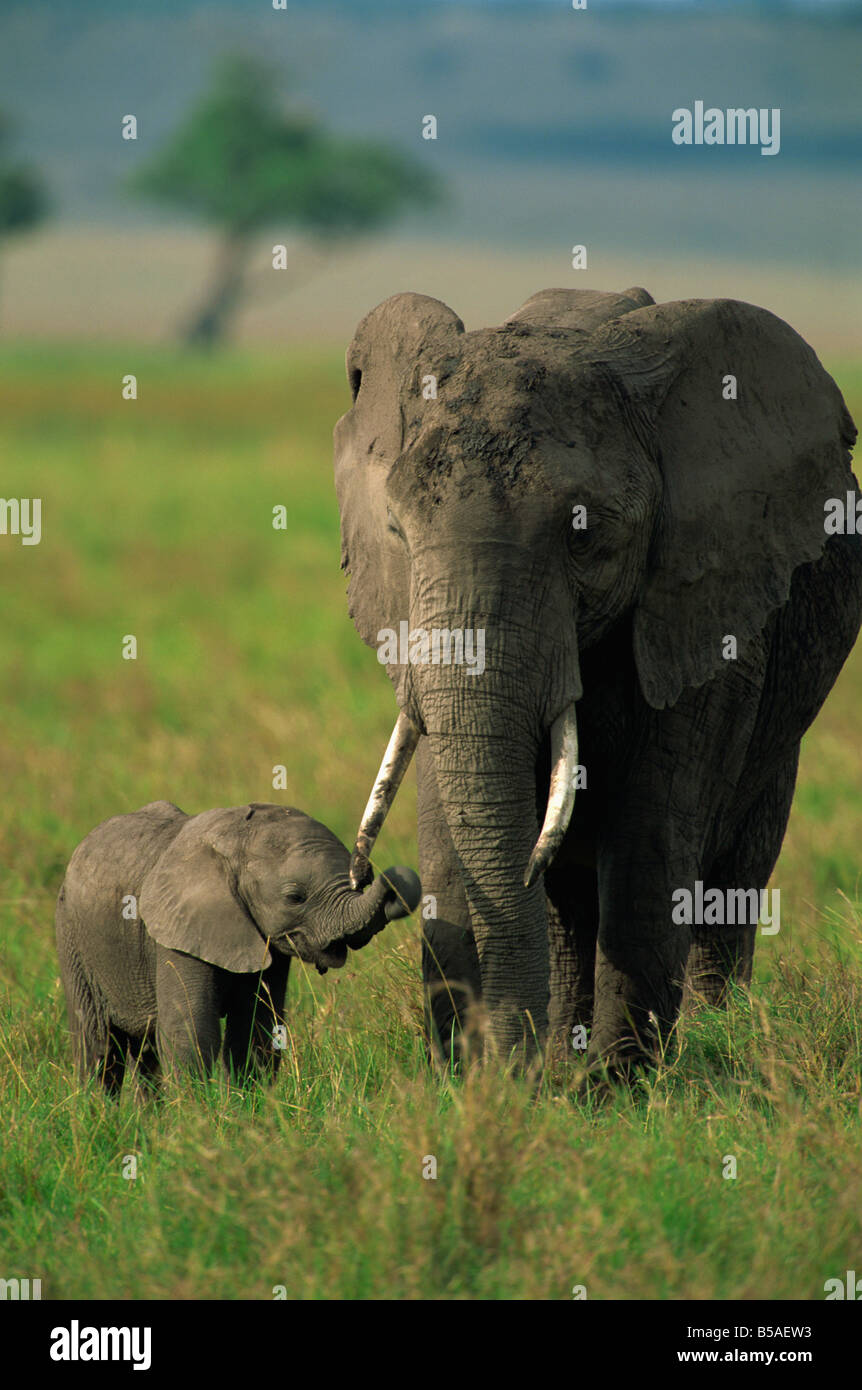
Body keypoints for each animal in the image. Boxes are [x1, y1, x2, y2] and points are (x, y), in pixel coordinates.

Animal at [56, 800, 421, 1093]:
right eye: (294, 897)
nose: (372, 874)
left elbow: (254, 1031)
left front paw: (248, 1115)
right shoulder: (177, 932)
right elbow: (190, 1031)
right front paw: (195, 1123)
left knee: (144, 1054)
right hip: (71, 937)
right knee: (97, 1047)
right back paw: (100, 1118)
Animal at [333, 286, 862, 1078]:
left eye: (583, 533)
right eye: (397, 532)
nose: (372, 880)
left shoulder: (705, 610)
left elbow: (649, 841)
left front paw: (619, 1084)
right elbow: (454, 818)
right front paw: (509, 1081)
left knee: (734, 873)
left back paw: (713, 1035)